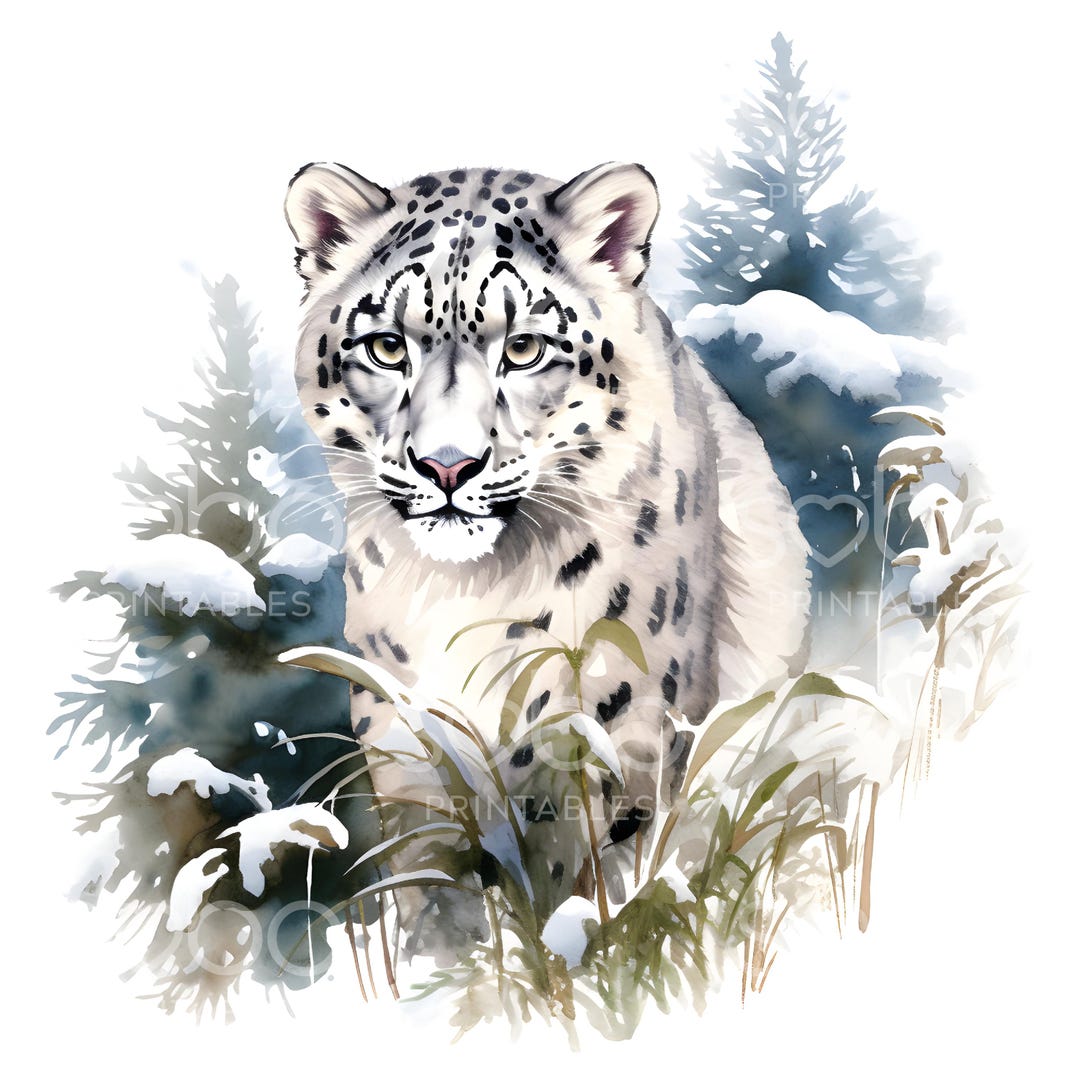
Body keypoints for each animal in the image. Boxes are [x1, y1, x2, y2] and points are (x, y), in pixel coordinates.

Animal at [284, 161, 810, 945]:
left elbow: (578, 864)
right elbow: (430, 866)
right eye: (386, 345)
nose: (446, 465)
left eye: (526, 348)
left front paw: (569, 945)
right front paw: (441, 948)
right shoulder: (400, 720)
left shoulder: (617, 717)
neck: (464, 592)